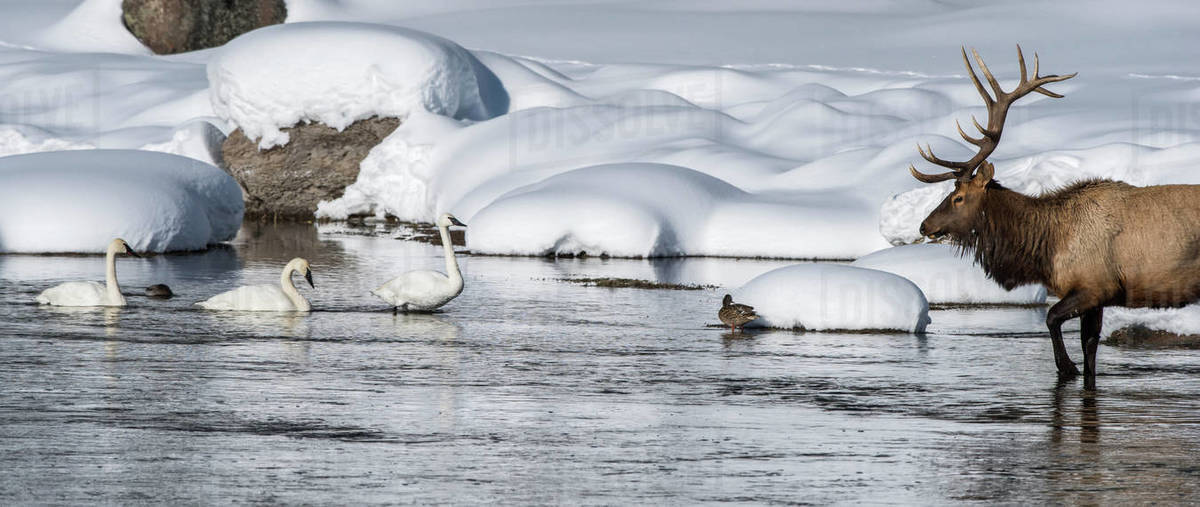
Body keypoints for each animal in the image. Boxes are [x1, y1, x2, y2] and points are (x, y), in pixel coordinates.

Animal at [909, 46, 1200, 379]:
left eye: (957, 198)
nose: (924, 225)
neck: (1046, 248)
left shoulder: (1094, 286)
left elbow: (1051, 319)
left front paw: (1066, 366)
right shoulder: (1095, 297)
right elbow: (1089, 351)